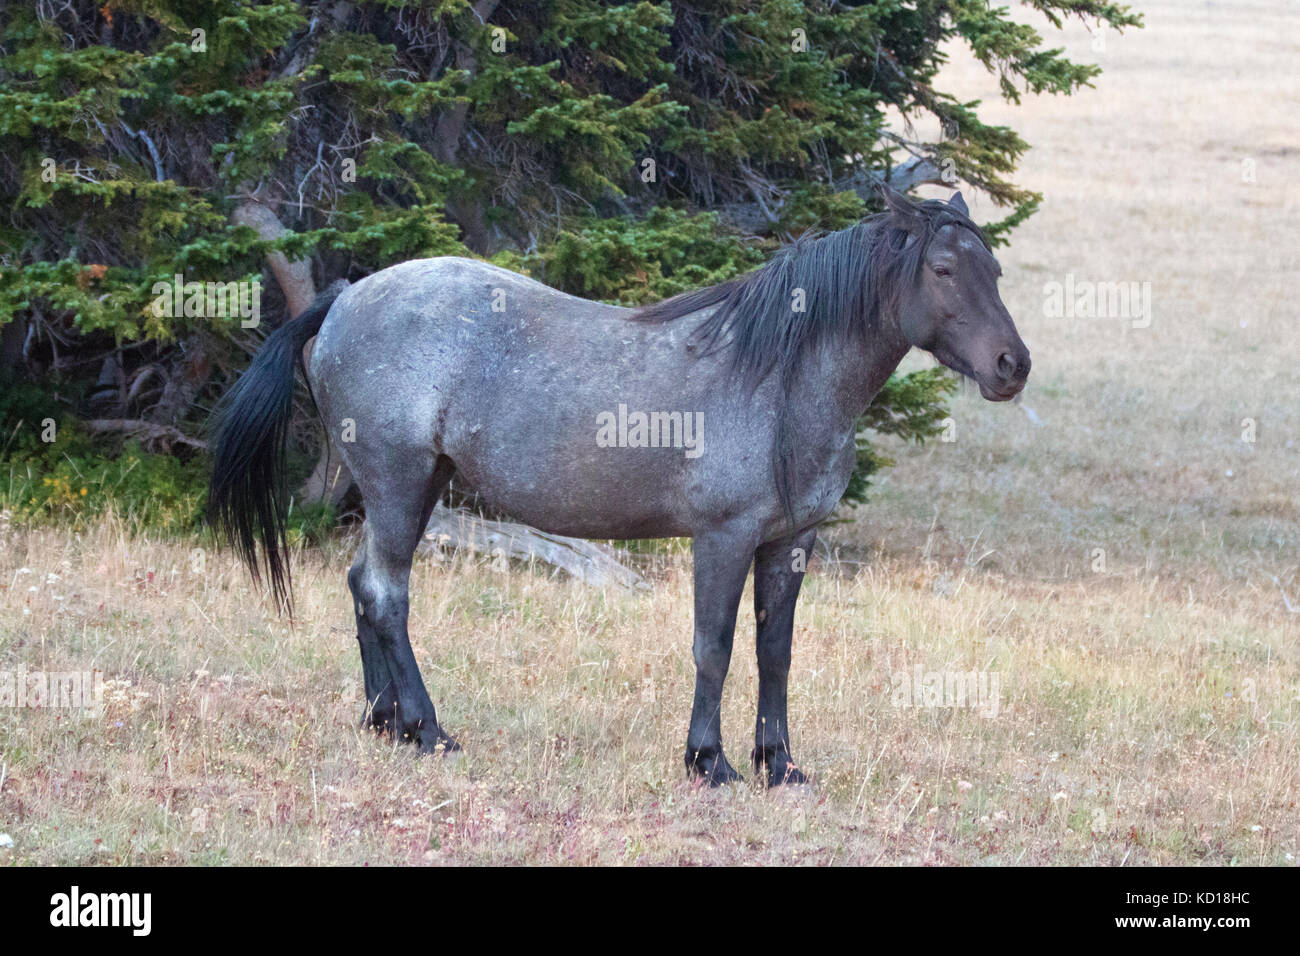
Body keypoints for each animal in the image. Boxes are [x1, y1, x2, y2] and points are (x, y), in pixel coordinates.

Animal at [207, 187, 1030, 787]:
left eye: (992, 270)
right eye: (943, 270)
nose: (1011, 366)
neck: (778, 378)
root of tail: (345, 298)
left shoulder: (790, 542)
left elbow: (776, 652)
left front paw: (781, 766)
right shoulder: (723, 538)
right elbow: (714, 647)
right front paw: (709, 762)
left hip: (404, 491)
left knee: (362, 585)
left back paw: (384, 721)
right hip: (400, 482)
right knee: (386, 595)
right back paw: (428, 729)